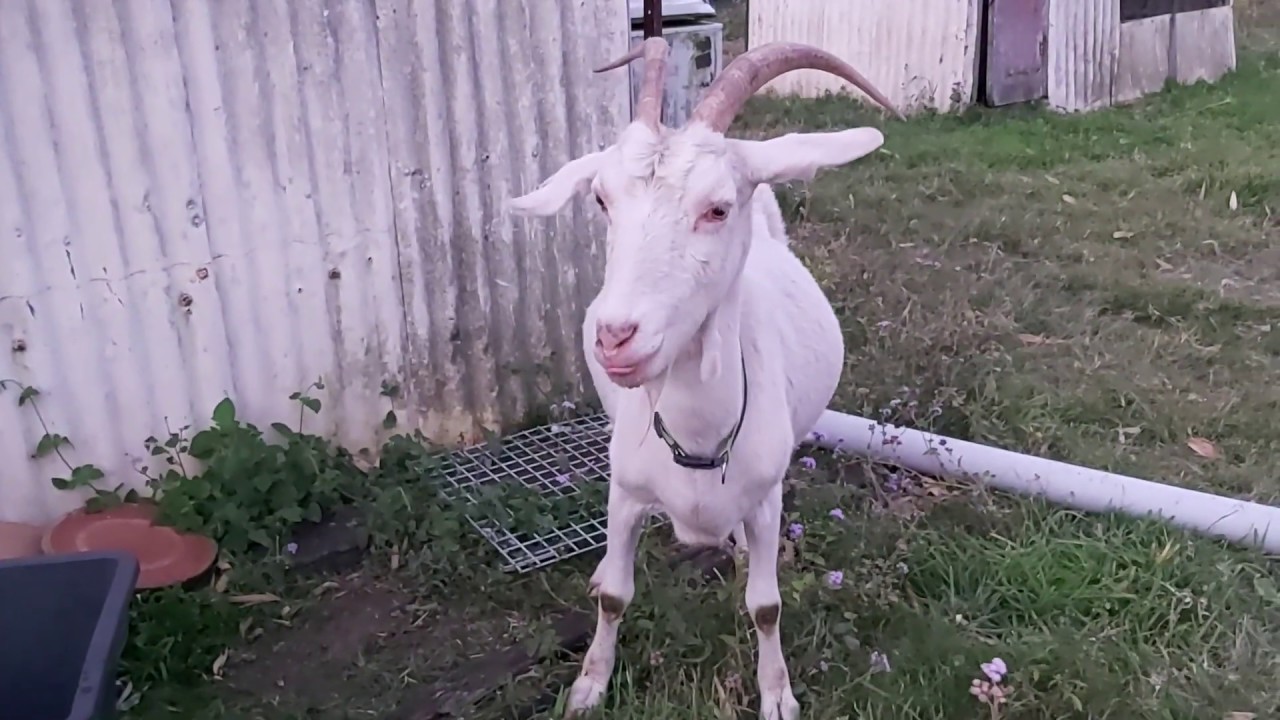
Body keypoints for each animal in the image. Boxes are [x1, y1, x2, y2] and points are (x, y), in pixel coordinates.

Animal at [509, 38, 898, 720]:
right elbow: (614, 595)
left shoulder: (766, 497)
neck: (694, 436)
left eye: (717, 208)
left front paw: (778, 695)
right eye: (602, 200)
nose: (615, 337)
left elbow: (766, 605)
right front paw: (588, 685)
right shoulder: (626, 491)